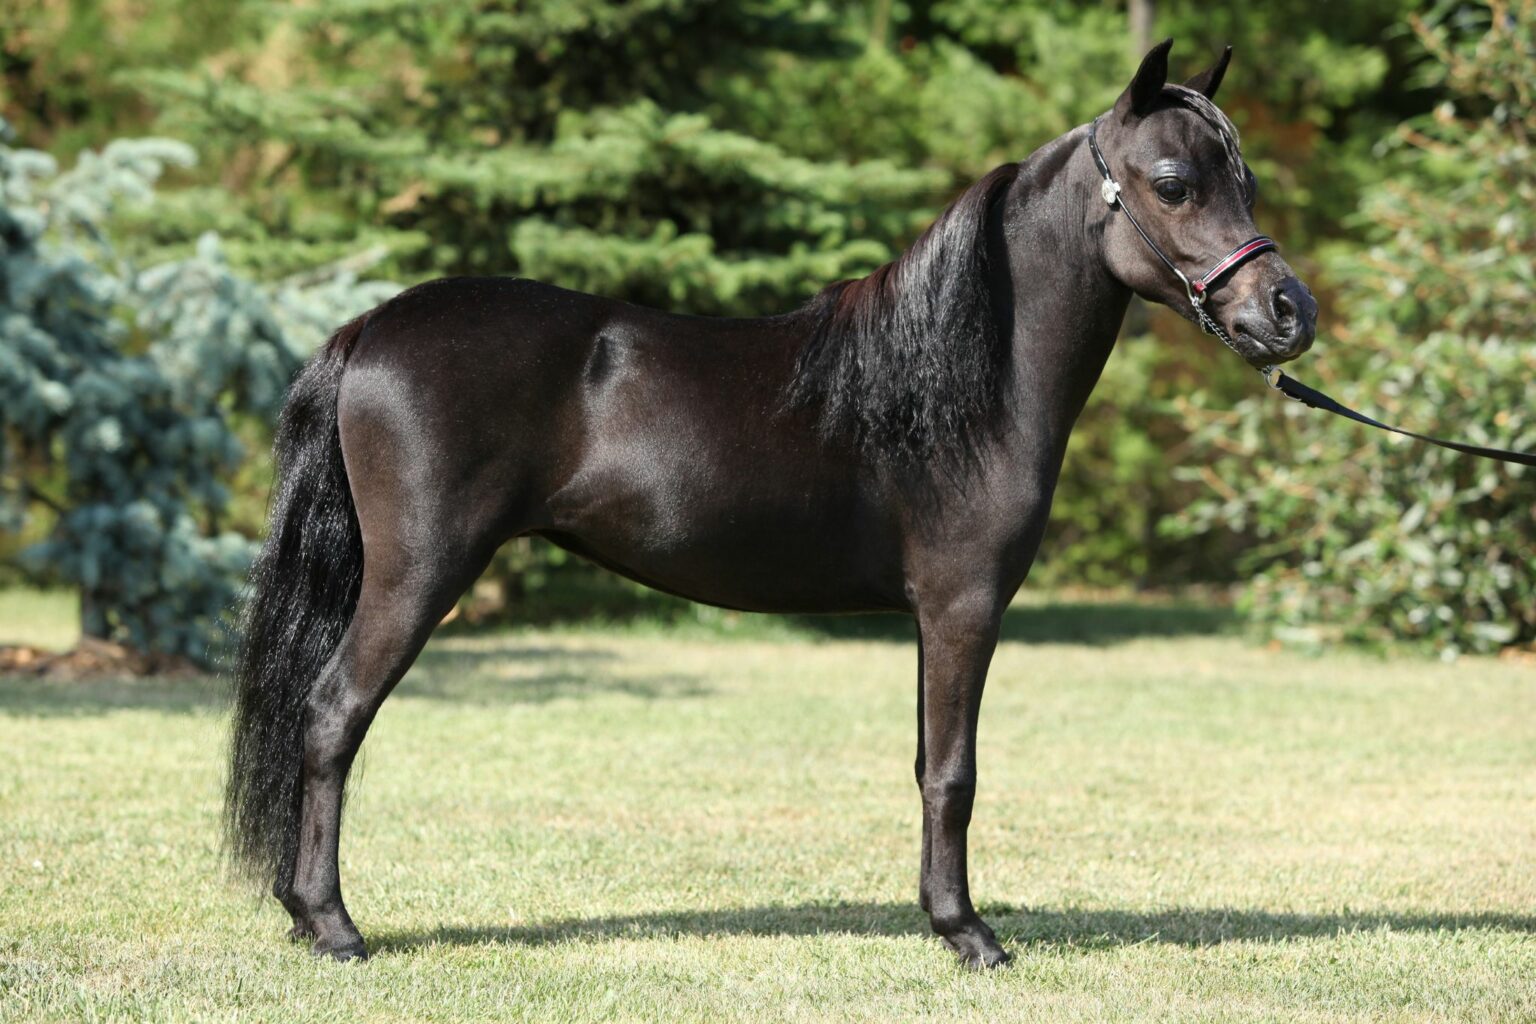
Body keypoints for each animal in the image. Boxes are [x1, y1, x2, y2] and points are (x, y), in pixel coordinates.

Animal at [226, 39, 1318, 968]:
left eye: (1247, 182)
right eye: (1172, 184)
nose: (1289, 312)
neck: (963, 382)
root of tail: (371, 327)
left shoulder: (932, 619)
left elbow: (926, 764)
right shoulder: (963, 608)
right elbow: (954, 772)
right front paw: (969, 934)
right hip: (417, 575)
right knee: (332, 716)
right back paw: (332, 925)